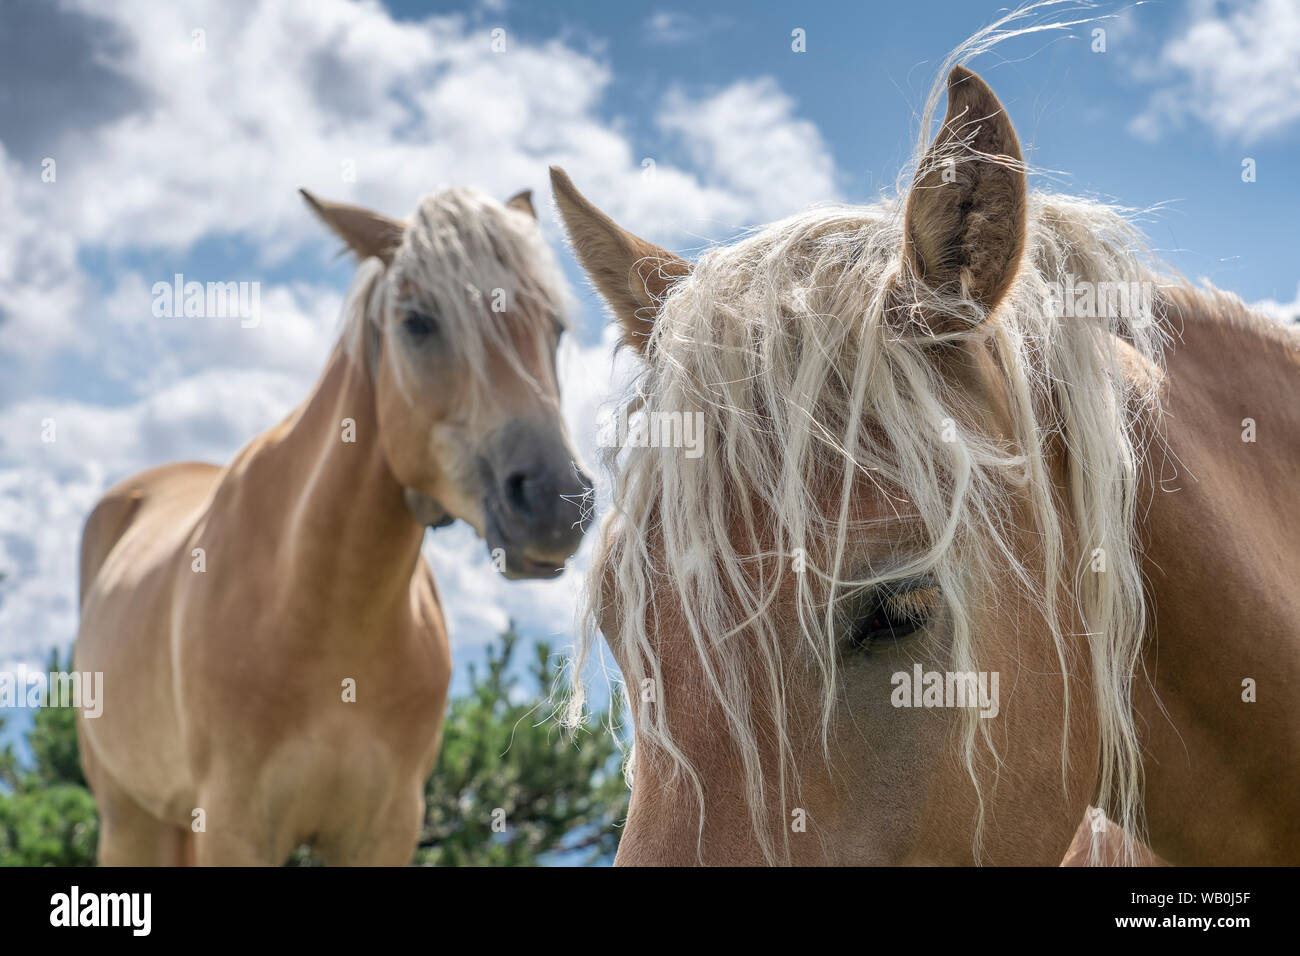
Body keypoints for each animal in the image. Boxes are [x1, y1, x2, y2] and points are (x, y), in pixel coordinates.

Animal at [74, 185, 592, 865]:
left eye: (553, 327)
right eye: (417, 321)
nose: (556, 502)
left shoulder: (386, 827)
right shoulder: (234, 825)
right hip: (127, 816)